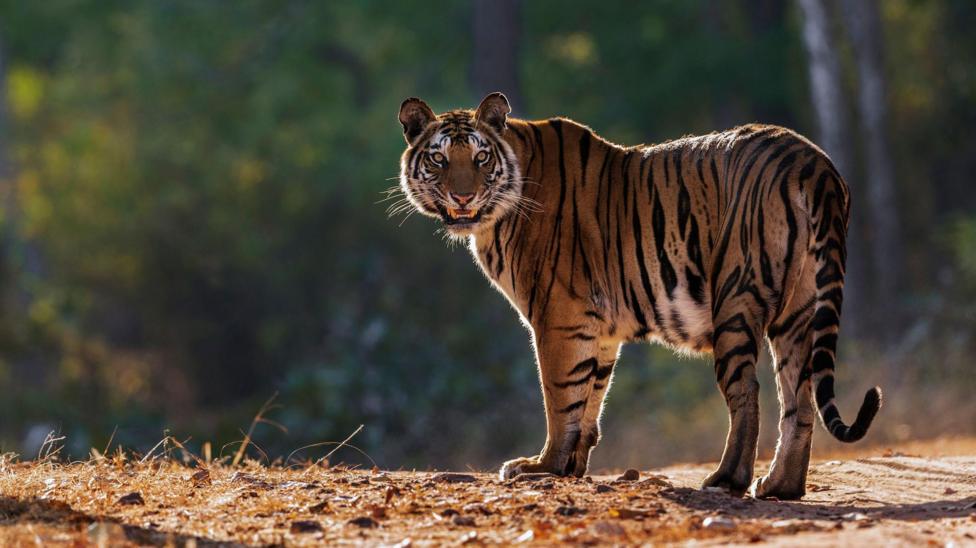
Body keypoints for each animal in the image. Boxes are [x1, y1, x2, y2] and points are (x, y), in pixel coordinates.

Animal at [395, 92, 881, 499]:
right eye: (438, 158)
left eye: (481, 157)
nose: (463, 196)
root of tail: (811, 162)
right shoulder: (597, 329)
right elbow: (590, 397)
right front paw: (571, 468)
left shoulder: (557, 317)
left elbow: (559, 397)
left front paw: (543, 467)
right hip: (799, 311)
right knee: (798, 399)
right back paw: (781, 486)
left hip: (736, 295)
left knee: (748, 391)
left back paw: (728, 479)